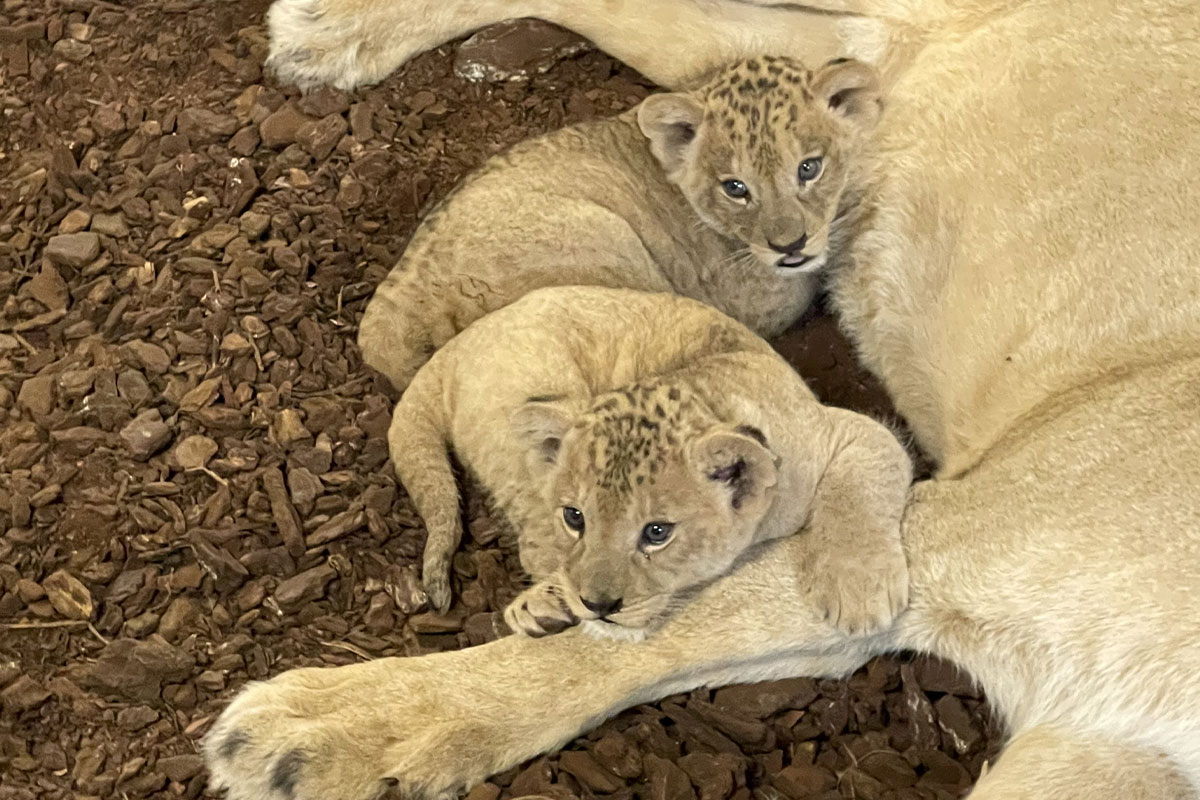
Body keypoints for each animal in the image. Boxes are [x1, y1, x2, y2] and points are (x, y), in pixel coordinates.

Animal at [358, 55, 881, 391]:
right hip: (608, 246)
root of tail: (394, 304)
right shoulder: (760, 299)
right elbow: (803, 287)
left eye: (809, 168)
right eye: (735, 188)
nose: (789, 245)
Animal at [387, 286, 911, 637]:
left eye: (657, 533)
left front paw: (856, 589)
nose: (598, 604)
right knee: (534, 547)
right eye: (575, 518)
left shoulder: (842, 432)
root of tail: (451, 348)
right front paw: (860, 596)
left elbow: (861, 483)